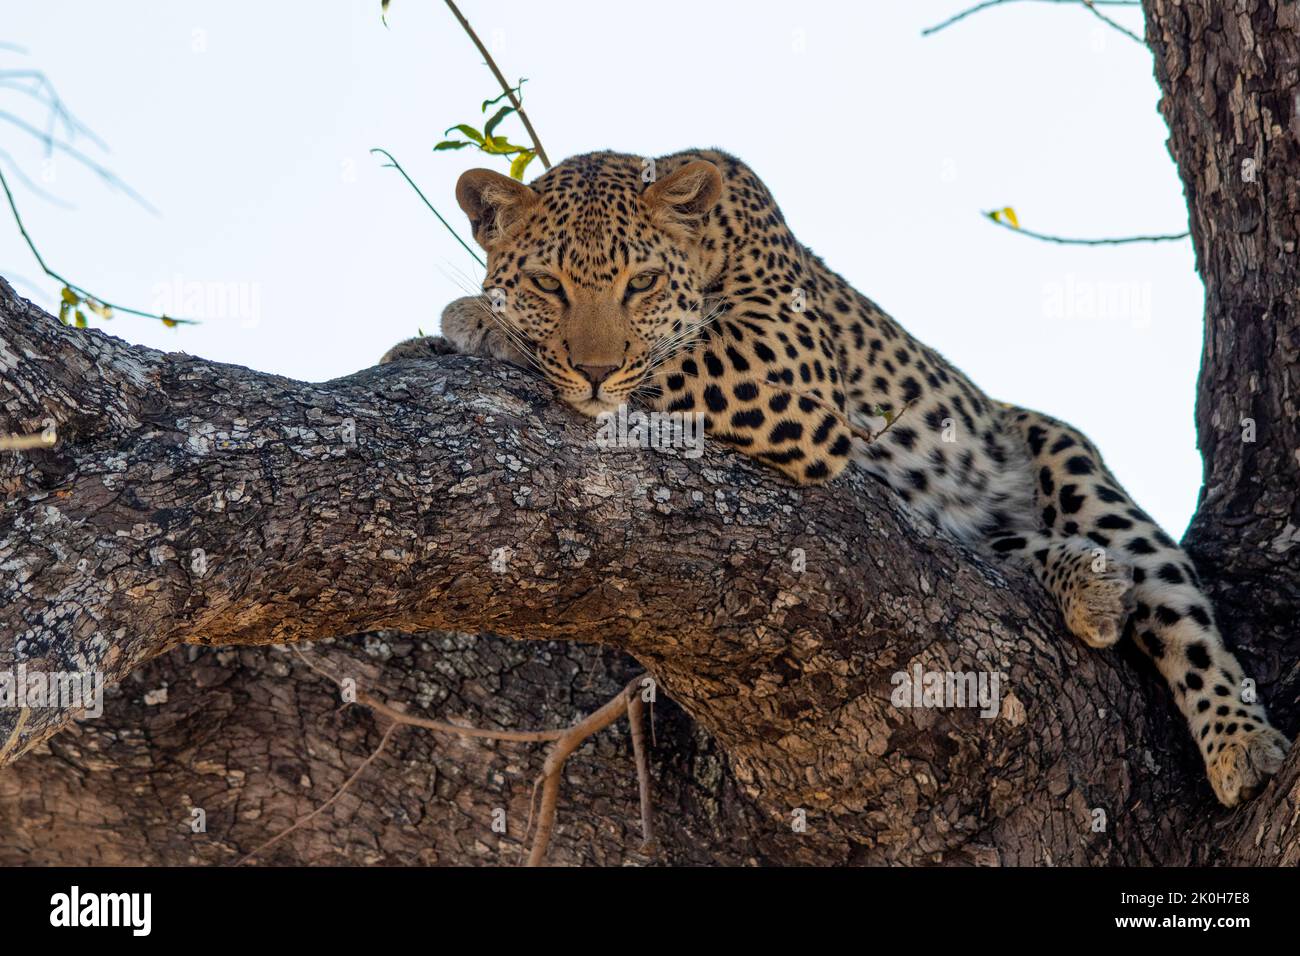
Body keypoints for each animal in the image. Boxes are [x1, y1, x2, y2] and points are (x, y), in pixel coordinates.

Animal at [381, 148, 1290, 807]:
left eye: (640, 283)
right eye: (548, 281)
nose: (595, 371)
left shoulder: (780, 362)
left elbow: (673, 353)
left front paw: (479, 322)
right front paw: (454, 333)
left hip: (1070, 461)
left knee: (1177, 607)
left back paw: (1240, 743)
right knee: (1003, 552)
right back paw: (1088, 586)